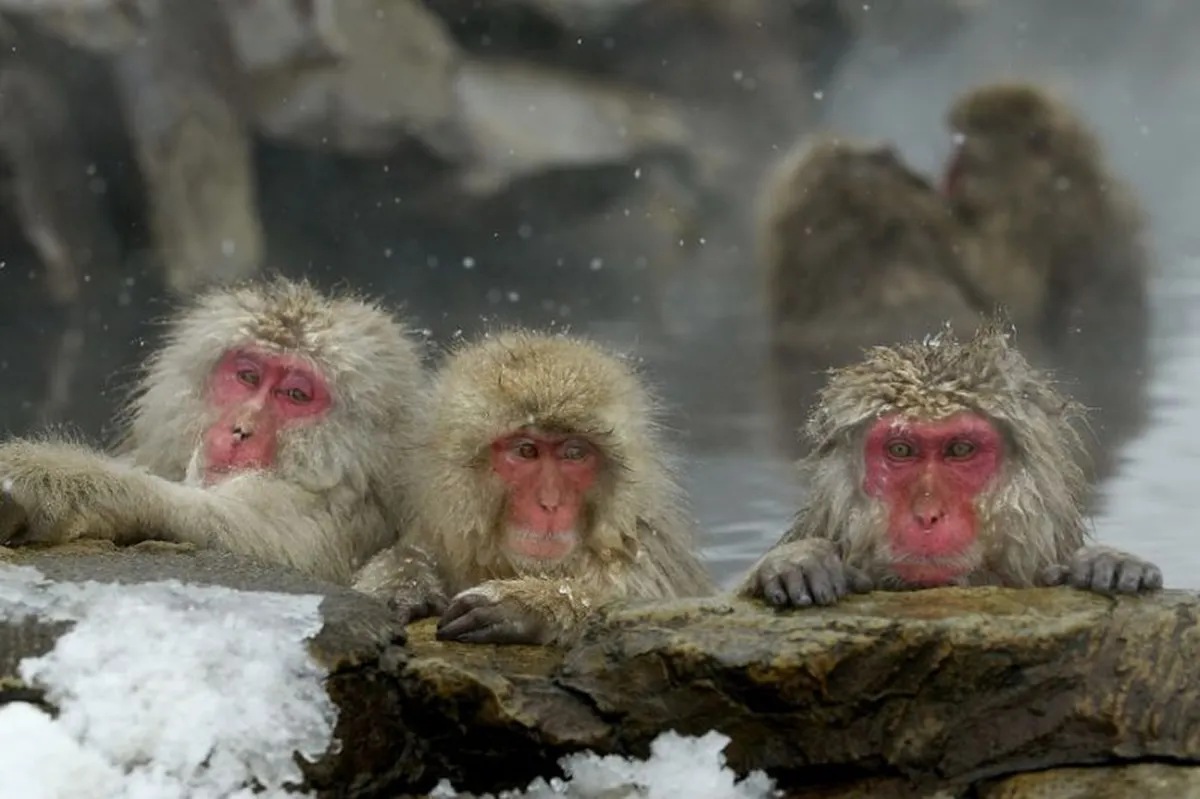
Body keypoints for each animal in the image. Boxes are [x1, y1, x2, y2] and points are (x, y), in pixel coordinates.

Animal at [0, 277, 426, 584]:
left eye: (296, 394)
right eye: (248, 376)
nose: (241, 428)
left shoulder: (335, 521)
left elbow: (255, 538)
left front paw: (49, 479)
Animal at [352, 329, 715, 646]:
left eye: (574, 453)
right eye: (526, 450)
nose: (550, 503)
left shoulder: (643, 554)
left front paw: (529, 605)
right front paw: (401, 581)